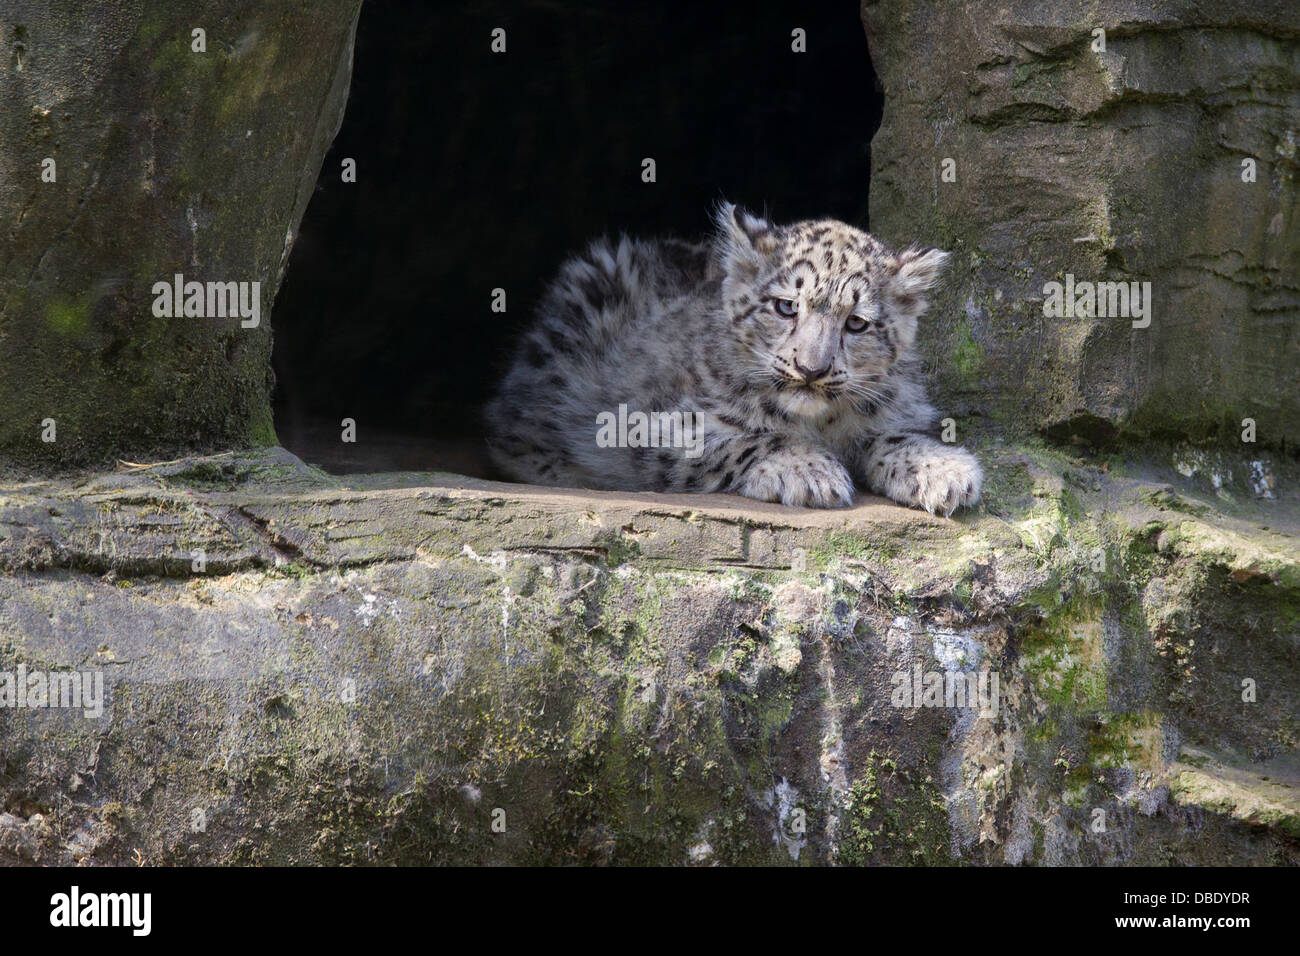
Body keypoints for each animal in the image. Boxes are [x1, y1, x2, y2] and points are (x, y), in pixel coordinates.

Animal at [484, 203, 982, 515]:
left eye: (856, 323)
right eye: (785, 306)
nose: (811, 369)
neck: (818, 423)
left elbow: (891, 433)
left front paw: (945, 470)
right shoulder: (661, 420)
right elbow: (743, 439)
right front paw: (809, 471)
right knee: (511, 419)